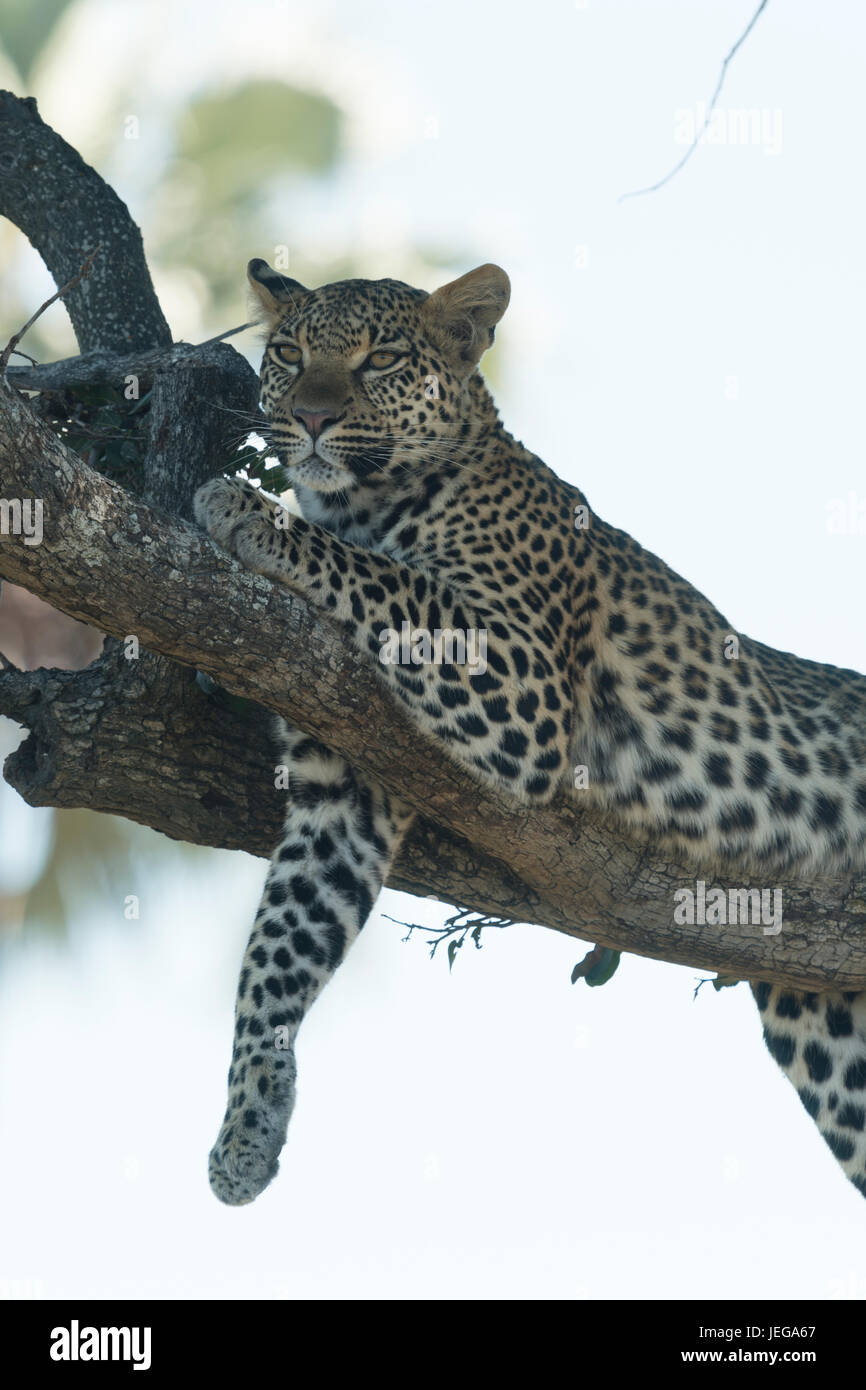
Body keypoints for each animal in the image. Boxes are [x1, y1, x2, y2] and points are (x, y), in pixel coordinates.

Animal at [193, 257, 866, 1207]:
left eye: (379, 359)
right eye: (288, 355)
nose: (313, 419)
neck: (363, 502)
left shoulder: (524, 682)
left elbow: (388, 578)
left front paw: (249, 511)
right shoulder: (344, 783)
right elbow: (277, 953)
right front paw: (247, 1128)